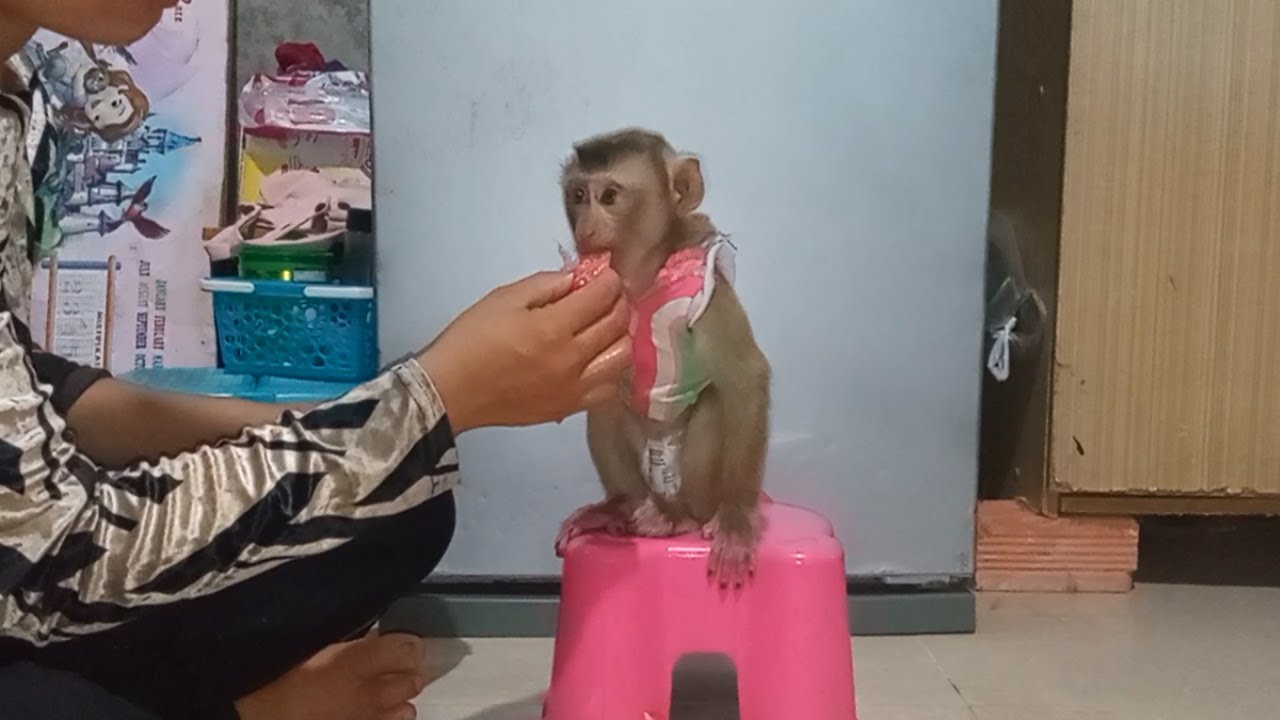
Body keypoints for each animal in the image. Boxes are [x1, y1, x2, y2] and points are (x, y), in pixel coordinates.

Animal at [554, 128, 772, 587]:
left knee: (715, 403)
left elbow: (747, 378)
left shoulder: (713, 302)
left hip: (694, 486)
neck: (640, 279)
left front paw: (738, 520)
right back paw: (617, 506)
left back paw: (681, 517)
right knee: (607, 404)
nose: (585, 228)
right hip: (645, 480)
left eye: (609, 197)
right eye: (578, 195)